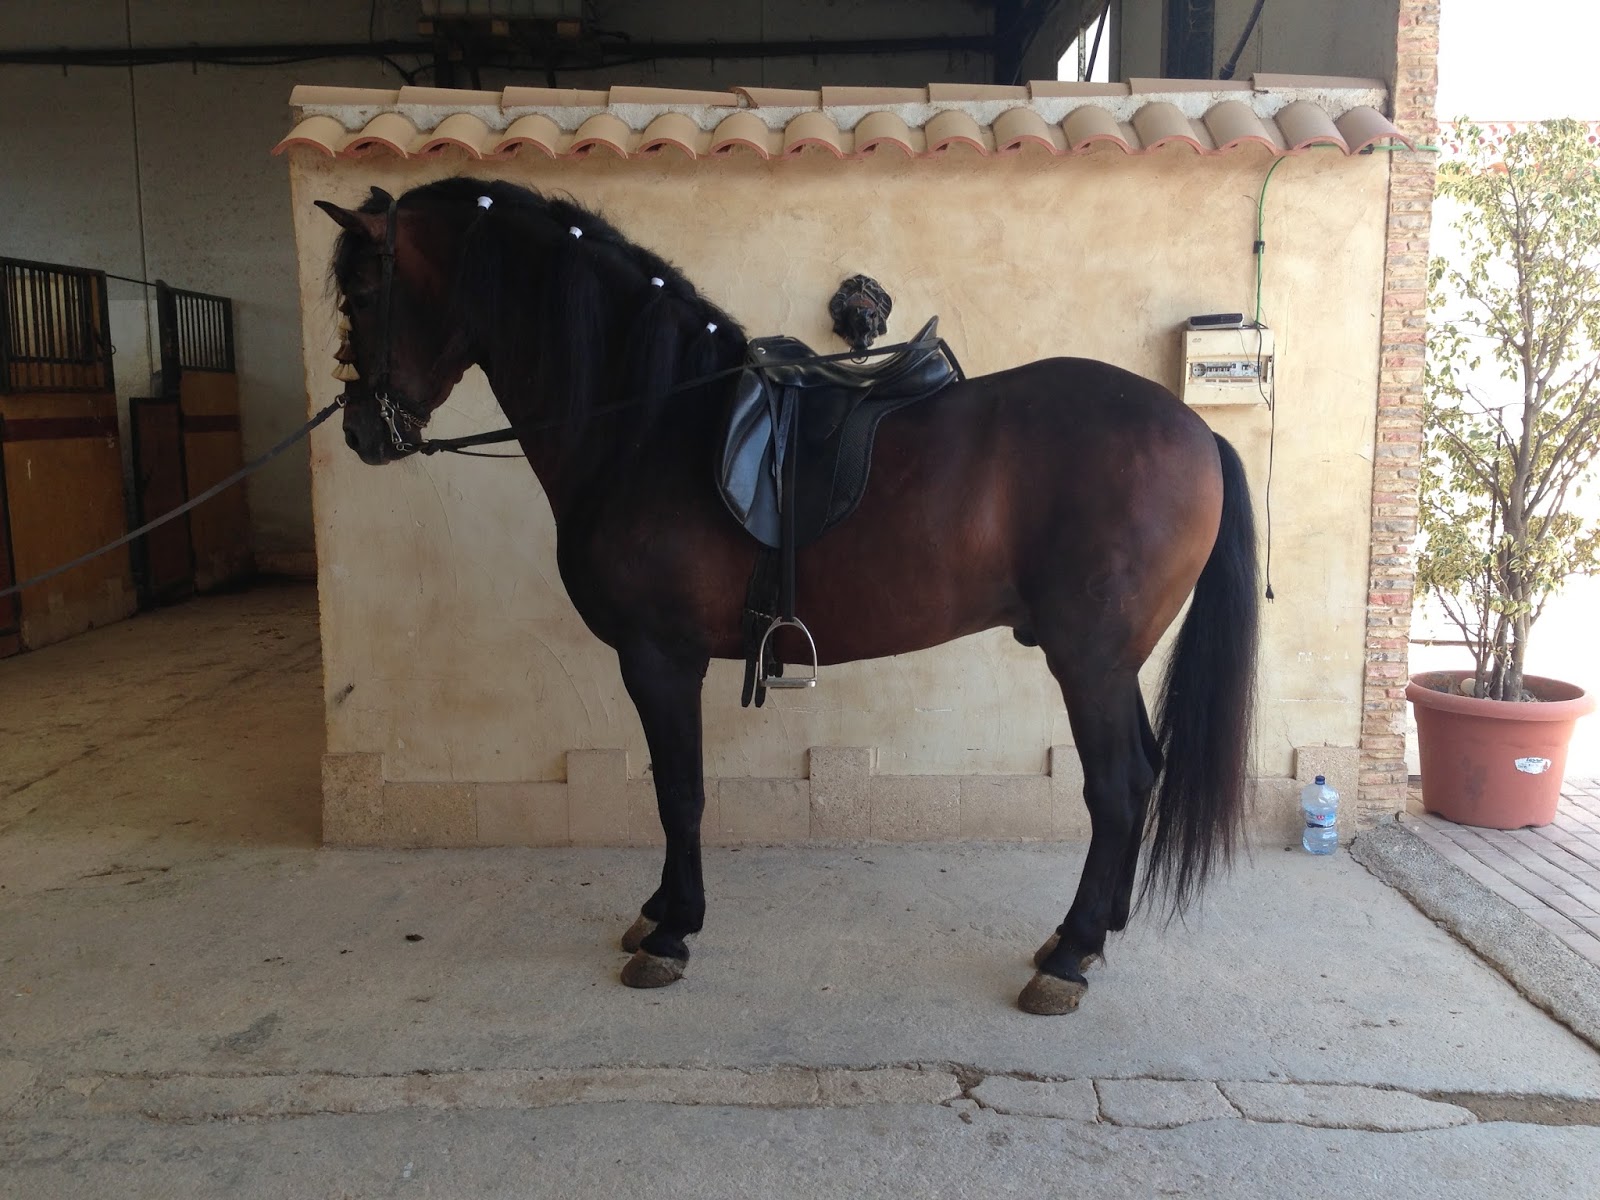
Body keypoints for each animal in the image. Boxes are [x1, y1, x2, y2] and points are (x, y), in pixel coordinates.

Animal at [317, 177, 1259, 1015]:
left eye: (363, 293)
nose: (361, 431)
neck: (648, 424)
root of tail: (1196, 431)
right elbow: (672, 785)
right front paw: (658, 913)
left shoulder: (660, 658)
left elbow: (680, 791)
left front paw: (673, 932)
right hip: (1110, 661)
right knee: (1140, 774)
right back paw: (1093, 934)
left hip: (1088, 660)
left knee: (1117, 784)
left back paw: (1069, 954)